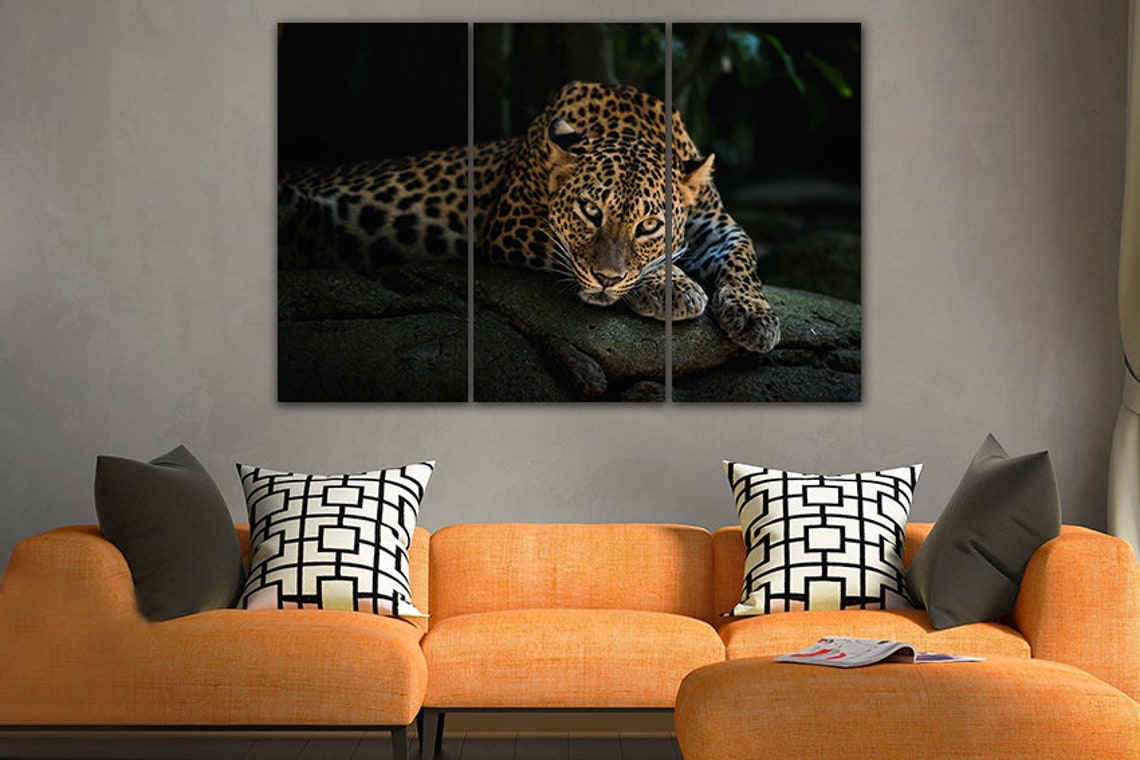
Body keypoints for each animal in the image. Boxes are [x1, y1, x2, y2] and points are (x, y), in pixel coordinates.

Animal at [279, 80, 780, 353]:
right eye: (590, 211)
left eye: (650, 226)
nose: (606, 279)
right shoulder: (511, 224)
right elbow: (573, 252)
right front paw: (671, 286)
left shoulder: (717, 227)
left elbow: (744, 258)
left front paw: (756, 316)